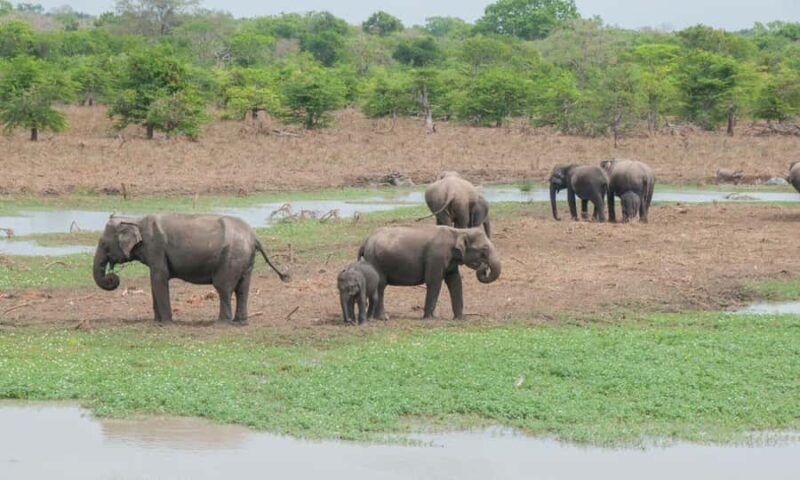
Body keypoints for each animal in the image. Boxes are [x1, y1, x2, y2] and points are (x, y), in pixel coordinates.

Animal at [93, 214, 289, 324]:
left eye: (103, 244)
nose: (112, 277)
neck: (134, 220)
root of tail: (254, 237)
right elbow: (154, 281)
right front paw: (156, 321)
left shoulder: (156, 247)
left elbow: (159, 277)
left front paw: (165, 323)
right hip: (246, 261)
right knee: (242, 289)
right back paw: (240, 322)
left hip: (231, 258)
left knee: (224, 288)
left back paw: (221, 323)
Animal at [358, 225, 501, 320]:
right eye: (484, 250)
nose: (484, 267)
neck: (458, 231)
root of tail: (365, 241)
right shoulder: (436, 257)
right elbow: (434, 281)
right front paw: (431, 318)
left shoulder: (450, 261)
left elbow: (455, 281)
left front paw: (460, 319)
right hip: (375, 261)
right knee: (380, 285)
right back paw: (383, 318)